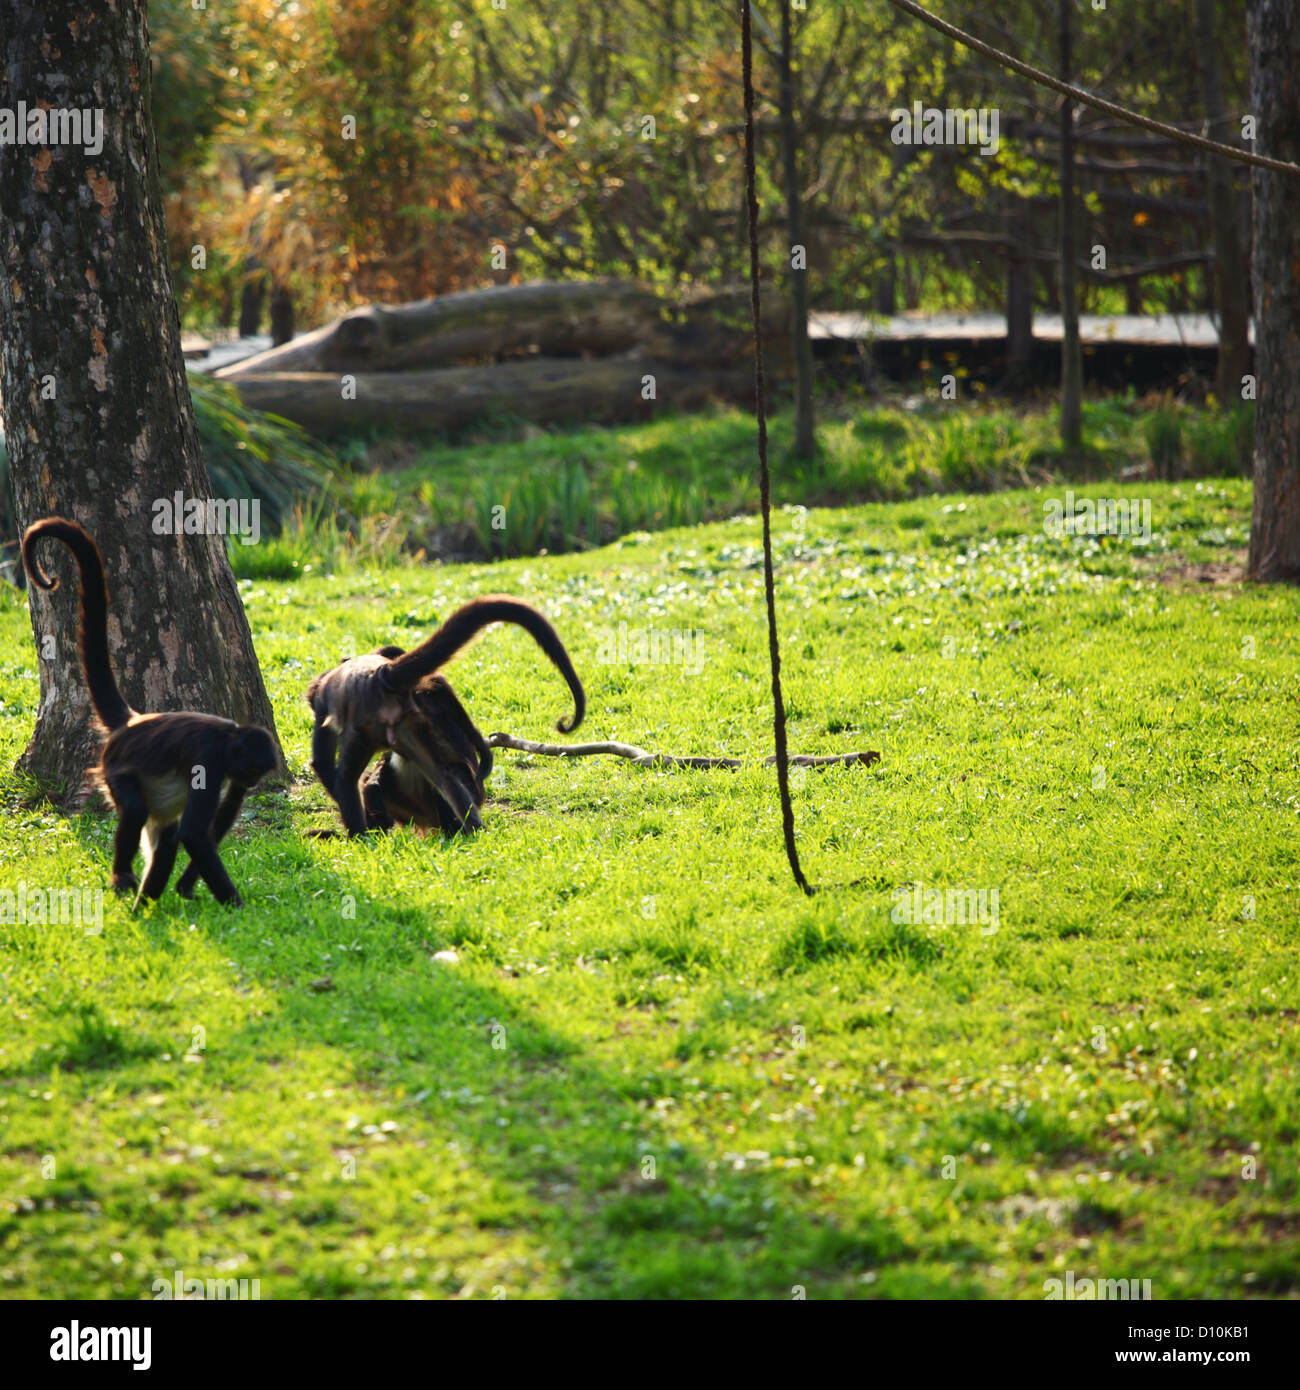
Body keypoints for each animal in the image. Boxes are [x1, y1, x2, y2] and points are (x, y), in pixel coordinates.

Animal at [22, 518, 277, 908]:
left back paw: (146, 903)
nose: (251, 782)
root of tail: (133, 721)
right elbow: (195, 834)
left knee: (166, 839)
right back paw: (123, 879)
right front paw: (235, 905)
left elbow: (212, 826)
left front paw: (186, 887)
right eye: (252, 770)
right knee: (138, 811)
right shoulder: (210, 758)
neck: (228, 736)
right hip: (115, 766)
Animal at [306, 597, 583, 837]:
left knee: (350, 778)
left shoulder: (325, 705)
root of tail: (382, 676)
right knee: (439, 776)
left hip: (369, 725)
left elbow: (323, 763)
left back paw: (364, 837)